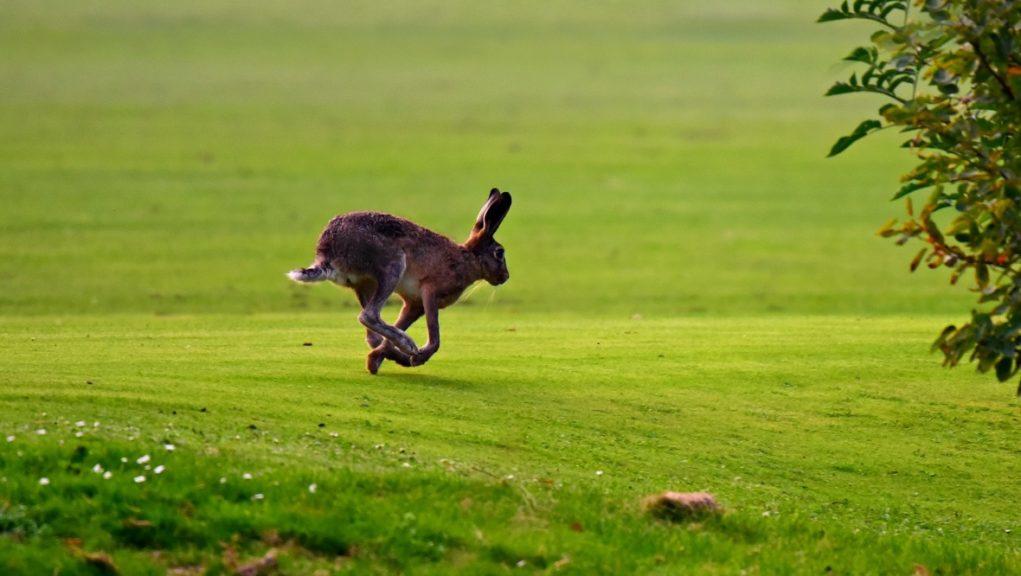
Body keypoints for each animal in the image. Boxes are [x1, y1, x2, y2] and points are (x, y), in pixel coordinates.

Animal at [288, 188, 512, 374]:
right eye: (499, 253)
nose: (505, 277)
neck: (467, 259)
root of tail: (326, 251)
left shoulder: (414, 305)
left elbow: (399, 326)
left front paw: (378, 360)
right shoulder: (430, 292)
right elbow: (435, 336)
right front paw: (418, 357)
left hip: (366, 284)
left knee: (373, 331)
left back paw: (399, 355)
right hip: (393, 266)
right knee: (368, 315)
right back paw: (409, 345)